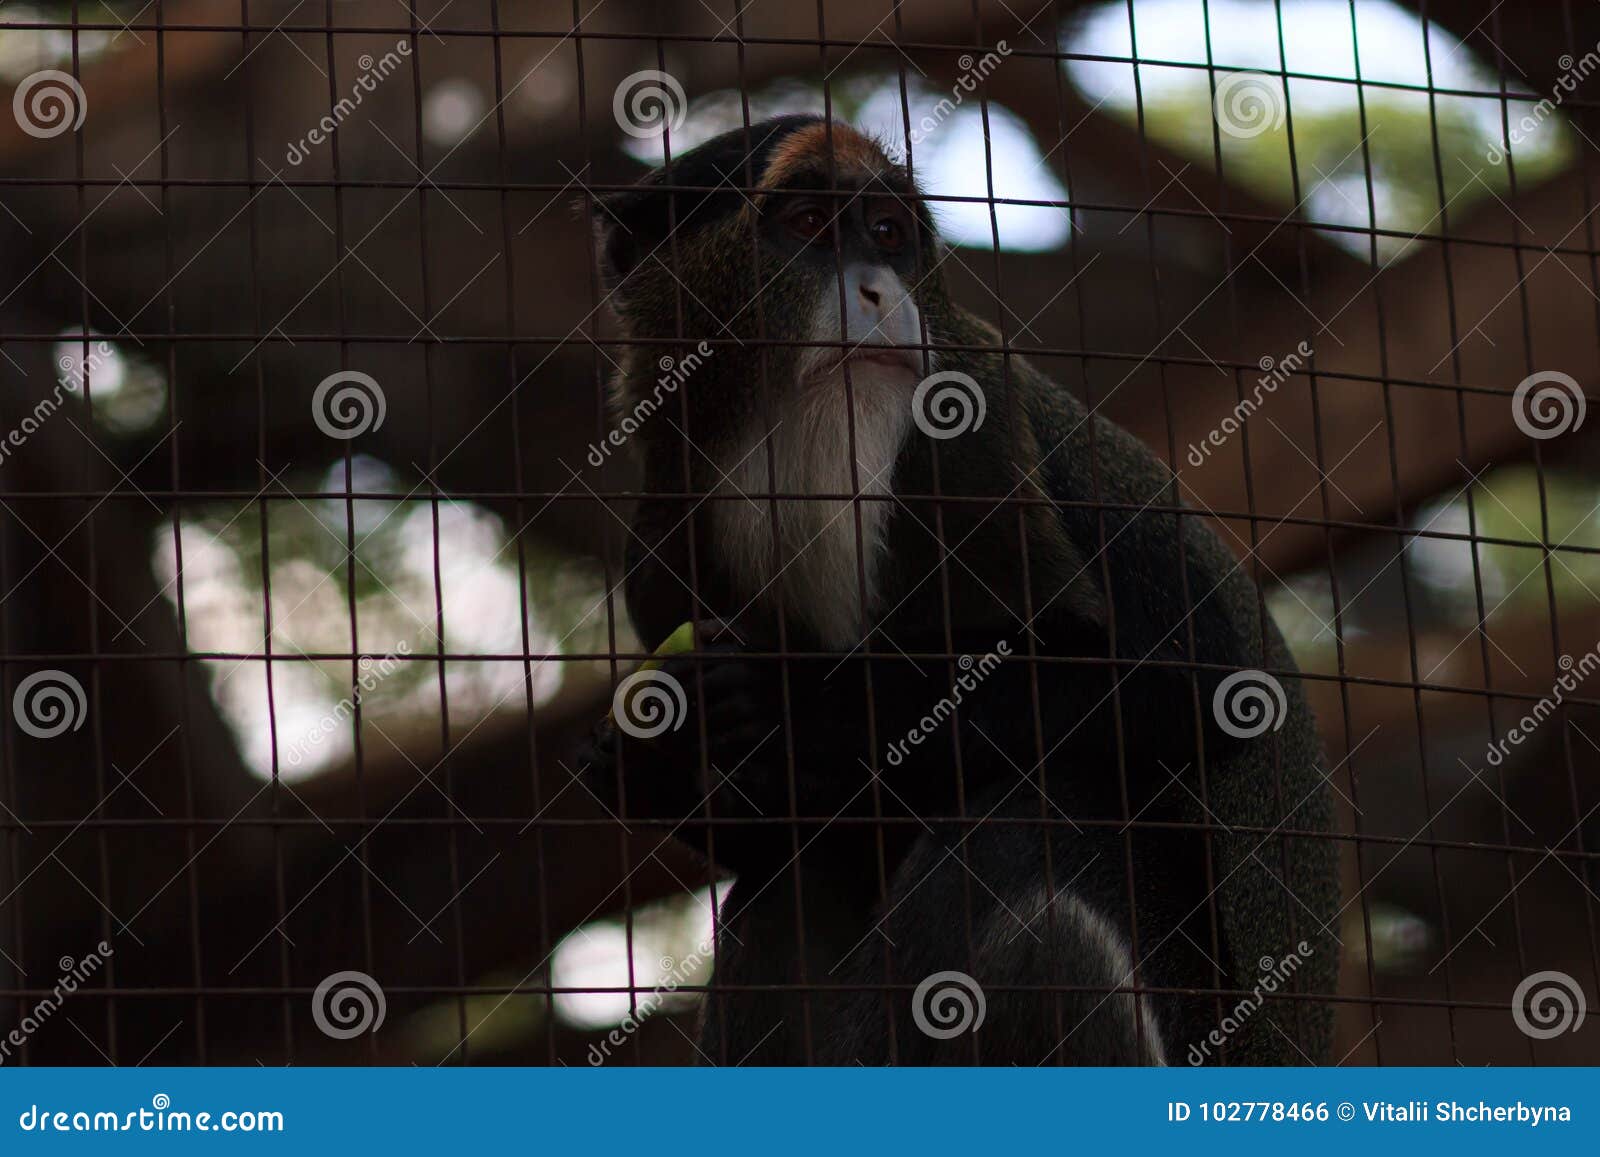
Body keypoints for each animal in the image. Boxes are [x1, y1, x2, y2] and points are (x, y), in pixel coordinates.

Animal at [578, 115, 1339, 1065]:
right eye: (806, 224)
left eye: (887, 234)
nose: (877, 292)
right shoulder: (657, 541)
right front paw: (650, 766)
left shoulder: (977, 419)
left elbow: (1191, 681)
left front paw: (793, 699)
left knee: (1044, 804)